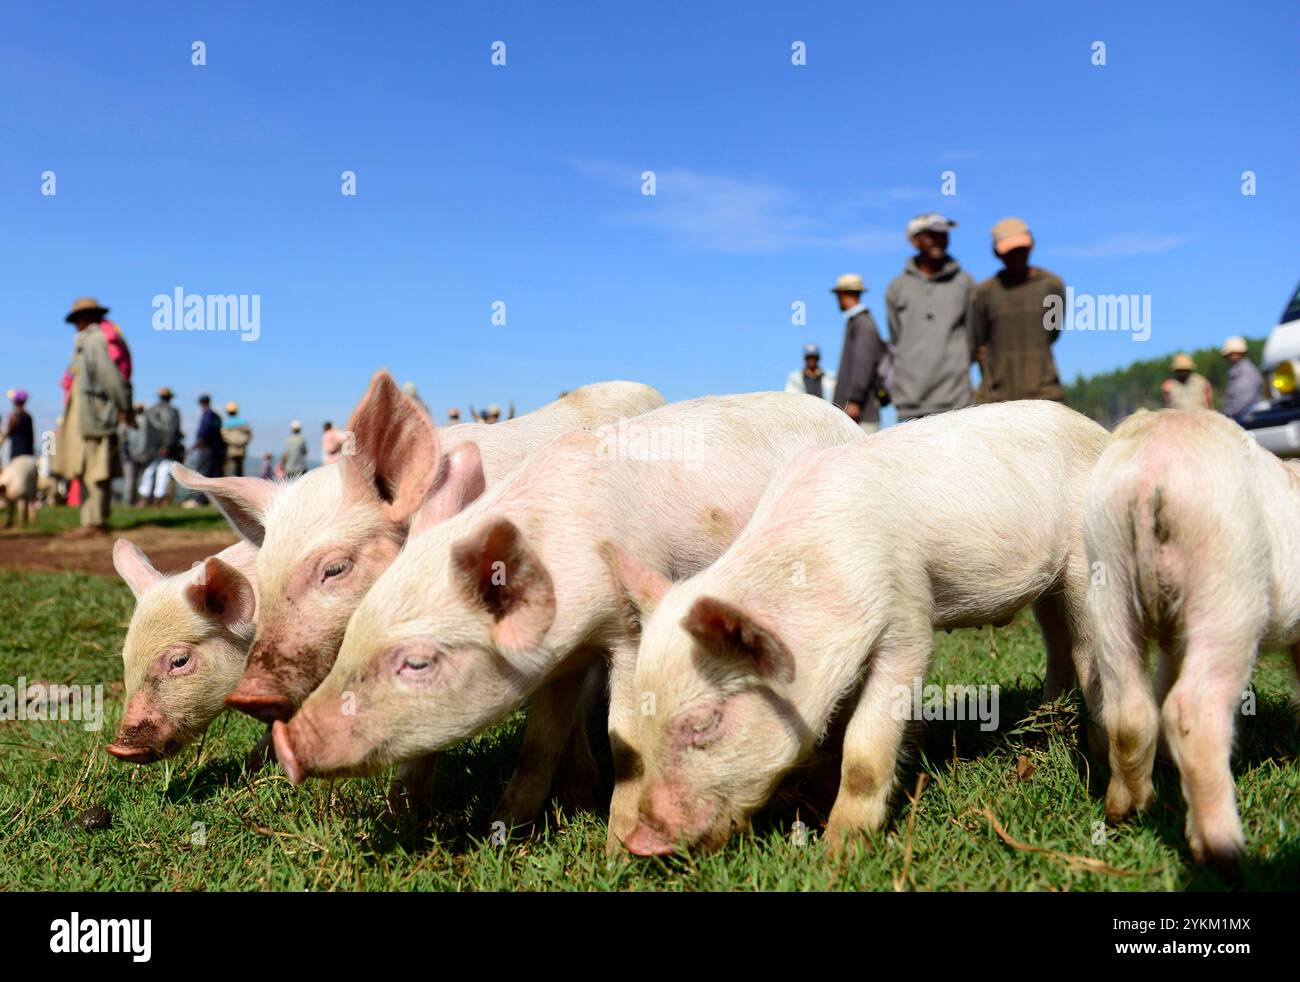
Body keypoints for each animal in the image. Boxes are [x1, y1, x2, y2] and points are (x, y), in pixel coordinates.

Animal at [270, 392, 865, 832]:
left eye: (418, 663)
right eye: (355, 631)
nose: (286, 742)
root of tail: (845, 420)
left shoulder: (631, 629)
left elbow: (624, 738)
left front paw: (615, 847)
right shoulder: (563, 658)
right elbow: (540, 741)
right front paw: (502, 830)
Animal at [598, 400, 1108, 855]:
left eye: (705, 723)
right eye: (644, 716)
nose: (641, 843)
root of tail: (1097, 430)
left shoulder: (906, 612)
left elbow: (864, 744)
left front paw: (838, 851)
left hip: (1083, 560)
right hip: (1048, 585)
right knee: (1056, 637)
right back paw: (1042, 722)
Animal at [1085, 409, 1300, 869]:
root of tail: (1151, 470)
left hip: (1106, 572)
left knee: (1130, 709)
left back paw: (1127, 810)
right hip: (1226, 578)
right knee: (1192, 709)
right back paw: (1224, 853)